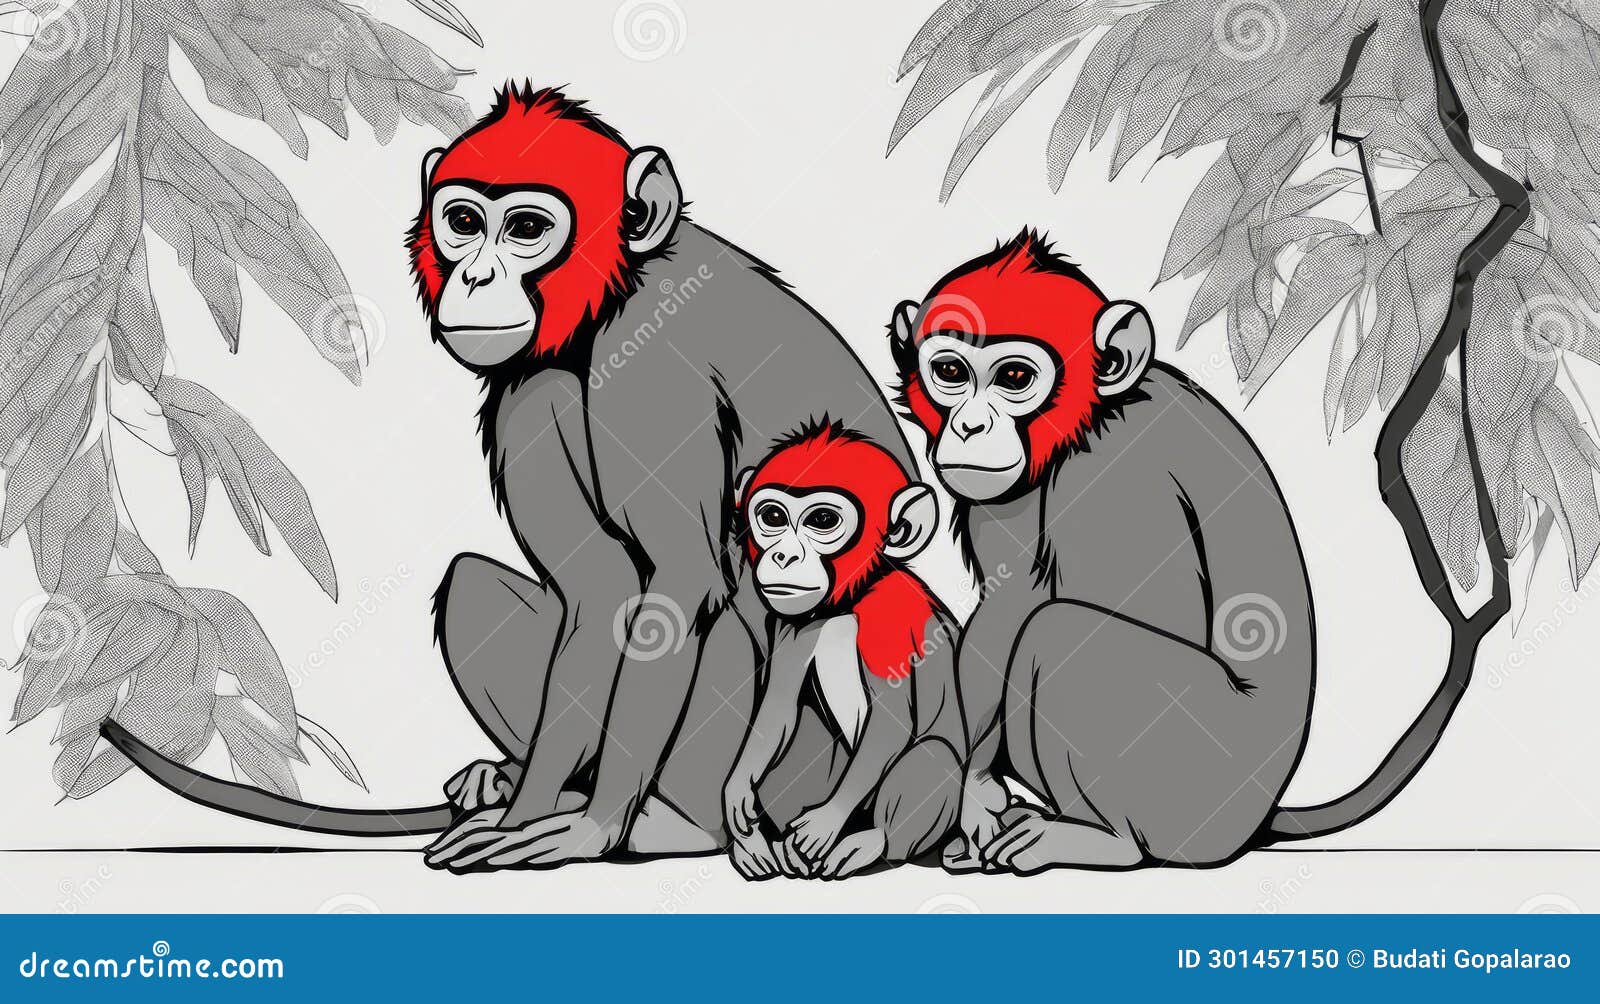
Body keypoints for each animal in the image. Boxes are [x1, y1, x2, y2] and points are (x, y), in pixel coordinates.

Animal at [104, 84, 915, 871]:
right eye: (464, 221)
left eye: (525, 228)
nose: (477, 273)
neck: (616, 290)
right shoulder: (522, 385)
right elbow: (599, 587)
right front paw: (531, 807)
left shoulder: (653, 362)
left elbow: (679, 585)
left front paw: (590, 827)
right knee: (482, 572)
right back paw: (521, 778)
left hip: (794, 771)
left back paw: (669, 824)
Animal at [721, 422, 964, 880]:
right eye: (772, 517)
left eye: (822, 520)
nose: (784, 555)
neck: (850, 601)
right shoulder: (795, 625)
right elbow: (779, 708)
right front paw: (737, 794)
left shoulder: (892, 618)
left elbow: (891, 723)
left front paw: (825, 822)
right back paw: (758, 847)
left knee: (933, 756)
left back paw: (868, 844)